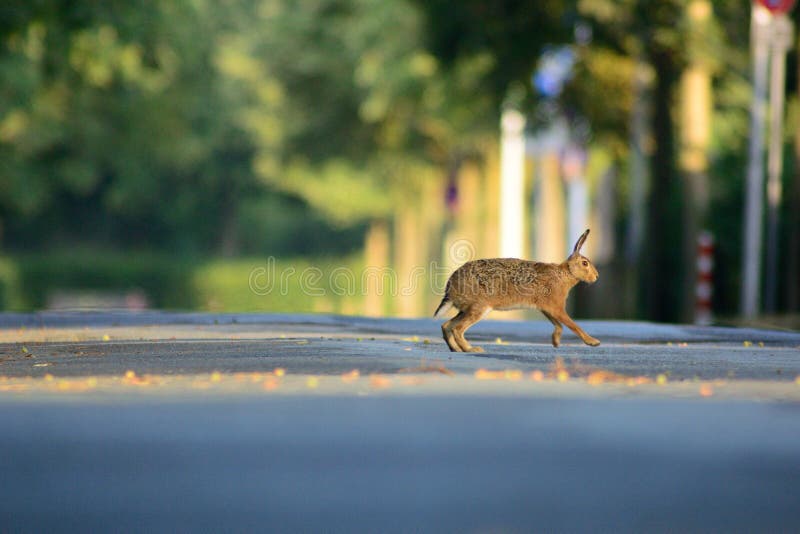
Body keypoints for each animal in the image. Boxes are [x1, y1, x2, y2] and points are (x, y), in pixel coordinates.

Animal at [434, 229, 600, 352]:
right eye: (585, 263)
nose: (596, 276)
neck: (565, 273)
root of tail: (451, 286)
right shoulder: (556, 307)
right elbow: (573, 325)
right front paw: (593, 342)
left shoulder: (546, 308)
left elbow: (558, 325)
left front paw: (556, 342)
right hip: (480, 307)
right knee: (458, 329)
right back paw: (471, 349)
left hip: (467, 309)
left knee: (446, 325)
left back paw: (455, 349)